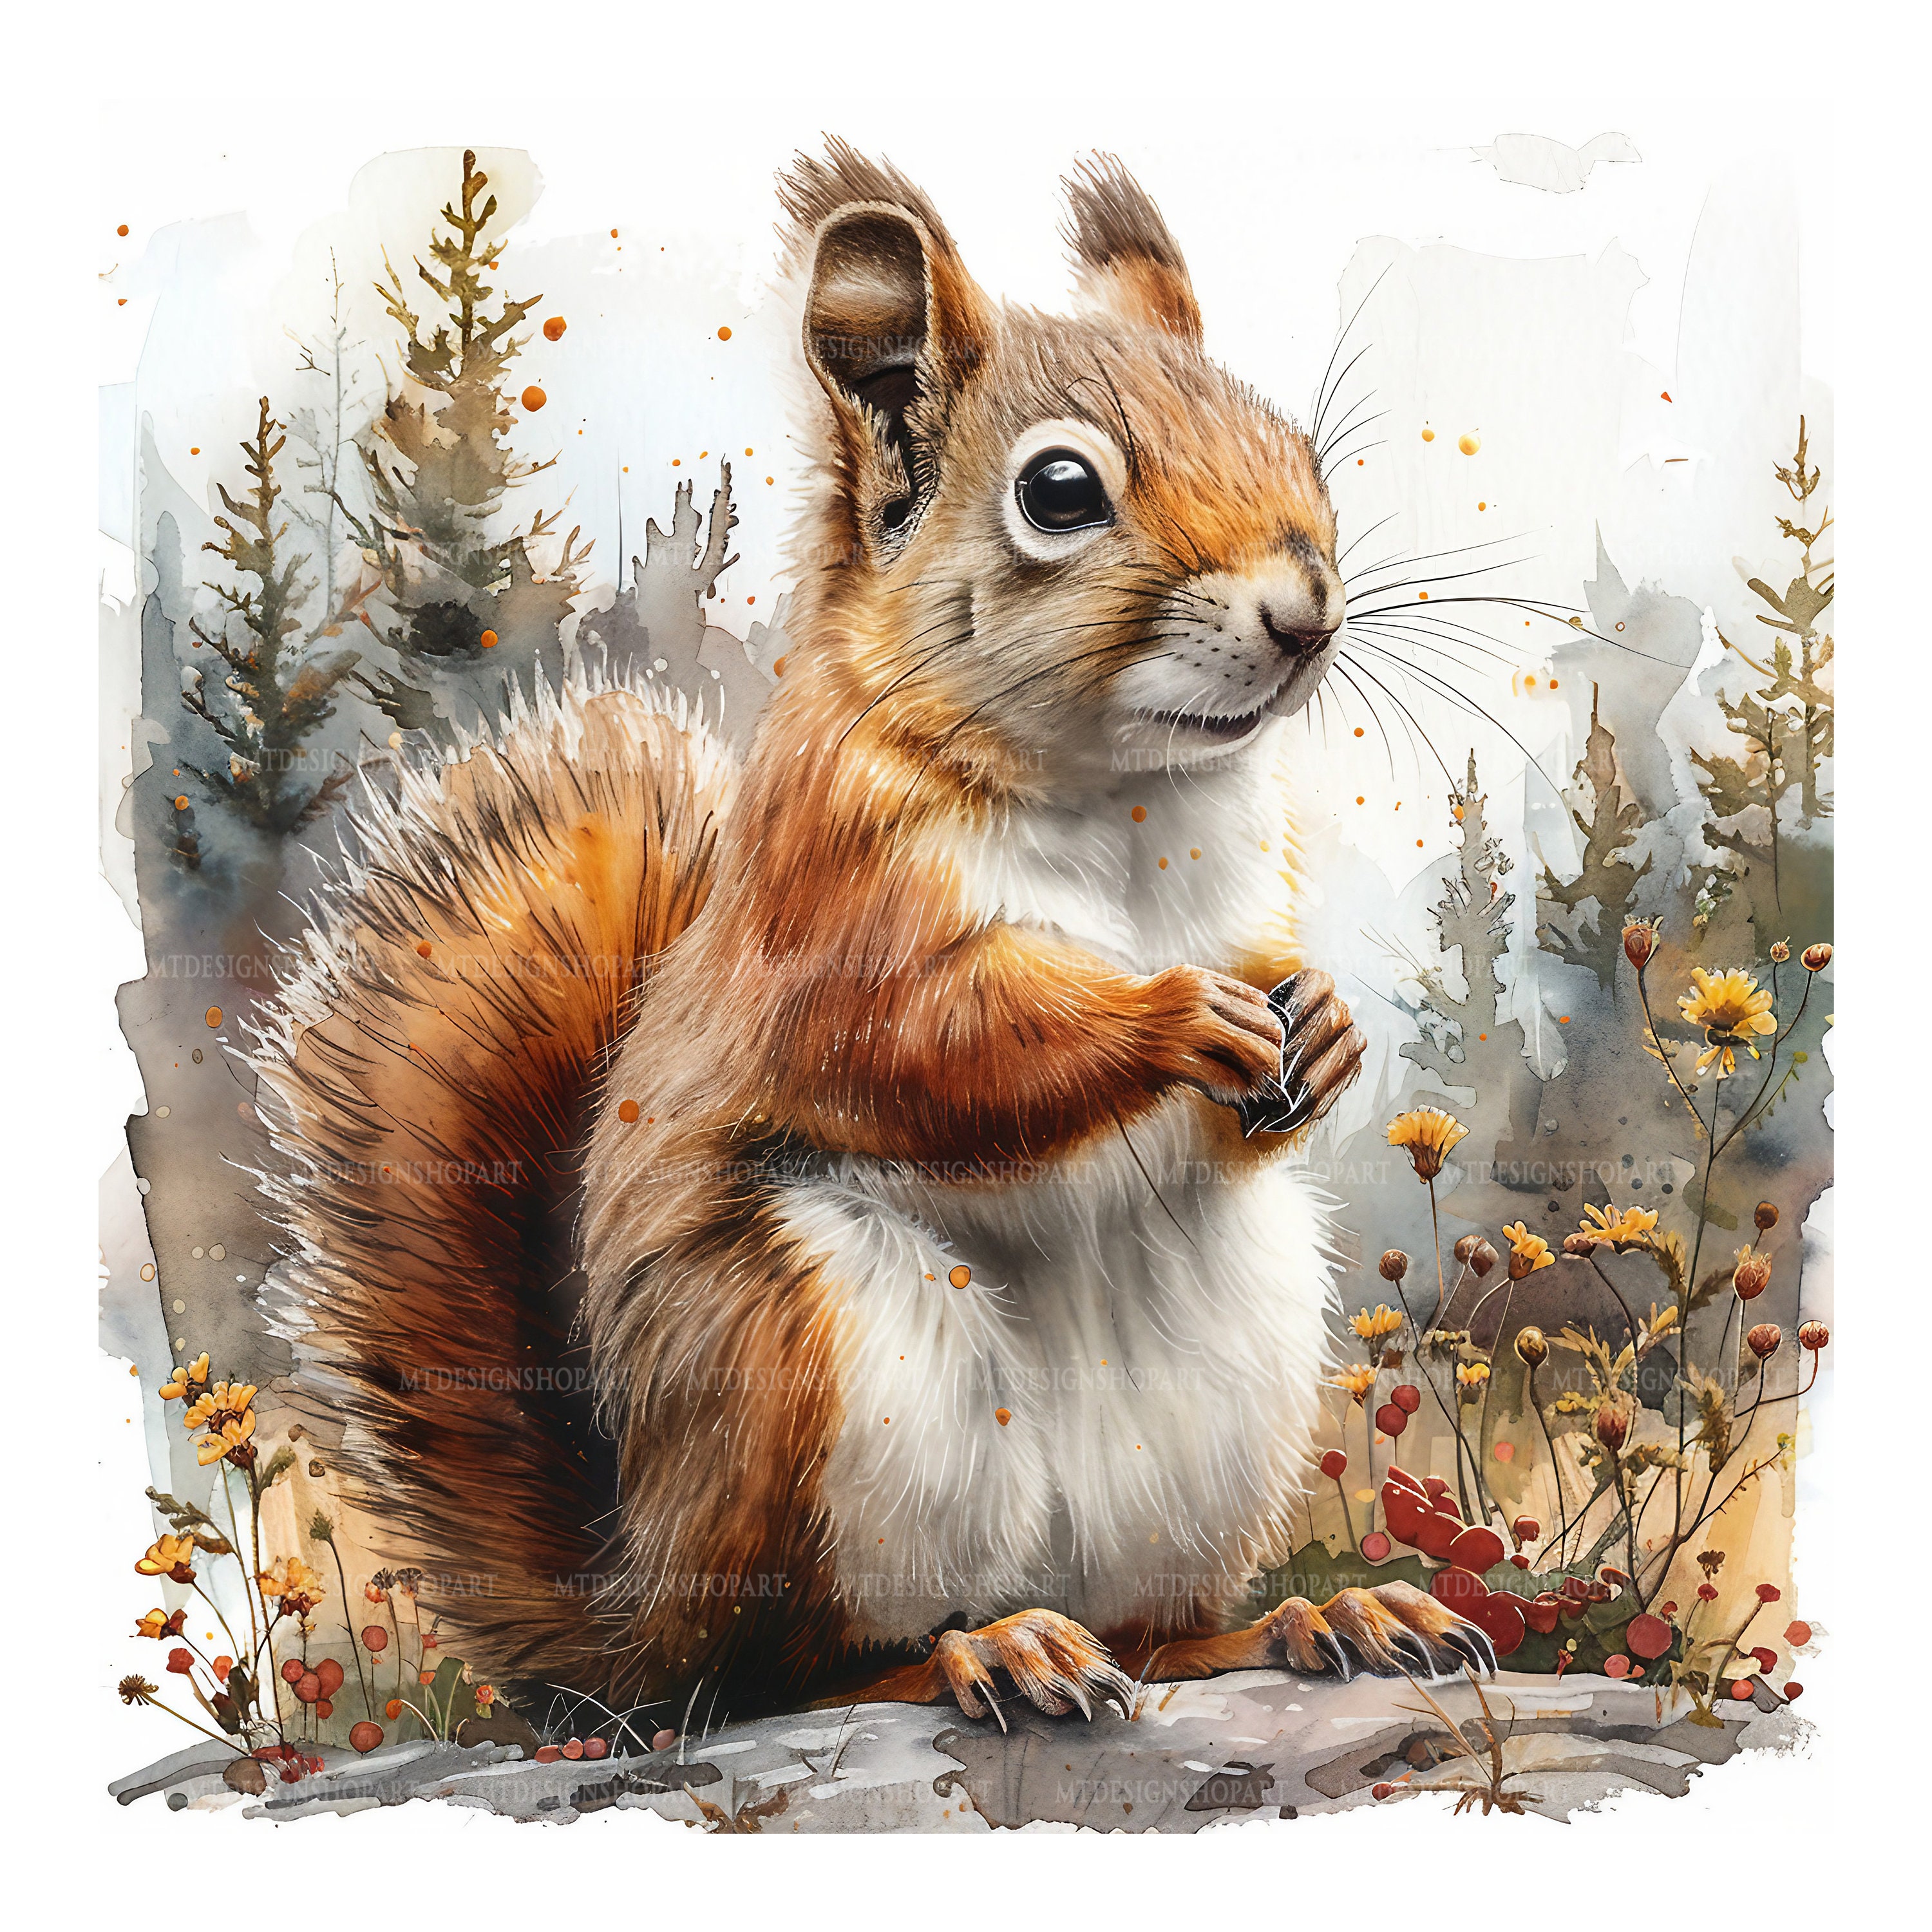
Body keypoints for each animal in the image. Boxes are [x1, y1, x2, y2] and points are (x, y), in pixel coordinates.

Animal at [252, 143, 1496, 1730]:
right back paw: (985, 1651)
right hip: (817, 1361)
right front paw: (1169, 1019)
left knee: (1149, 1631)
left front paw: (1321, 1025)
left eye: (1299, 449)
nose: (1306, 615)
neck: (1118, 797)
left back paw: (1310, 1619)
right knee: (803, 1670)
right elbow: (929, 1051)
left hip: (1227, 1388)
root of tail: (643, 1610)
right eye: (1060, 491)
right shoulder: (825, 921)